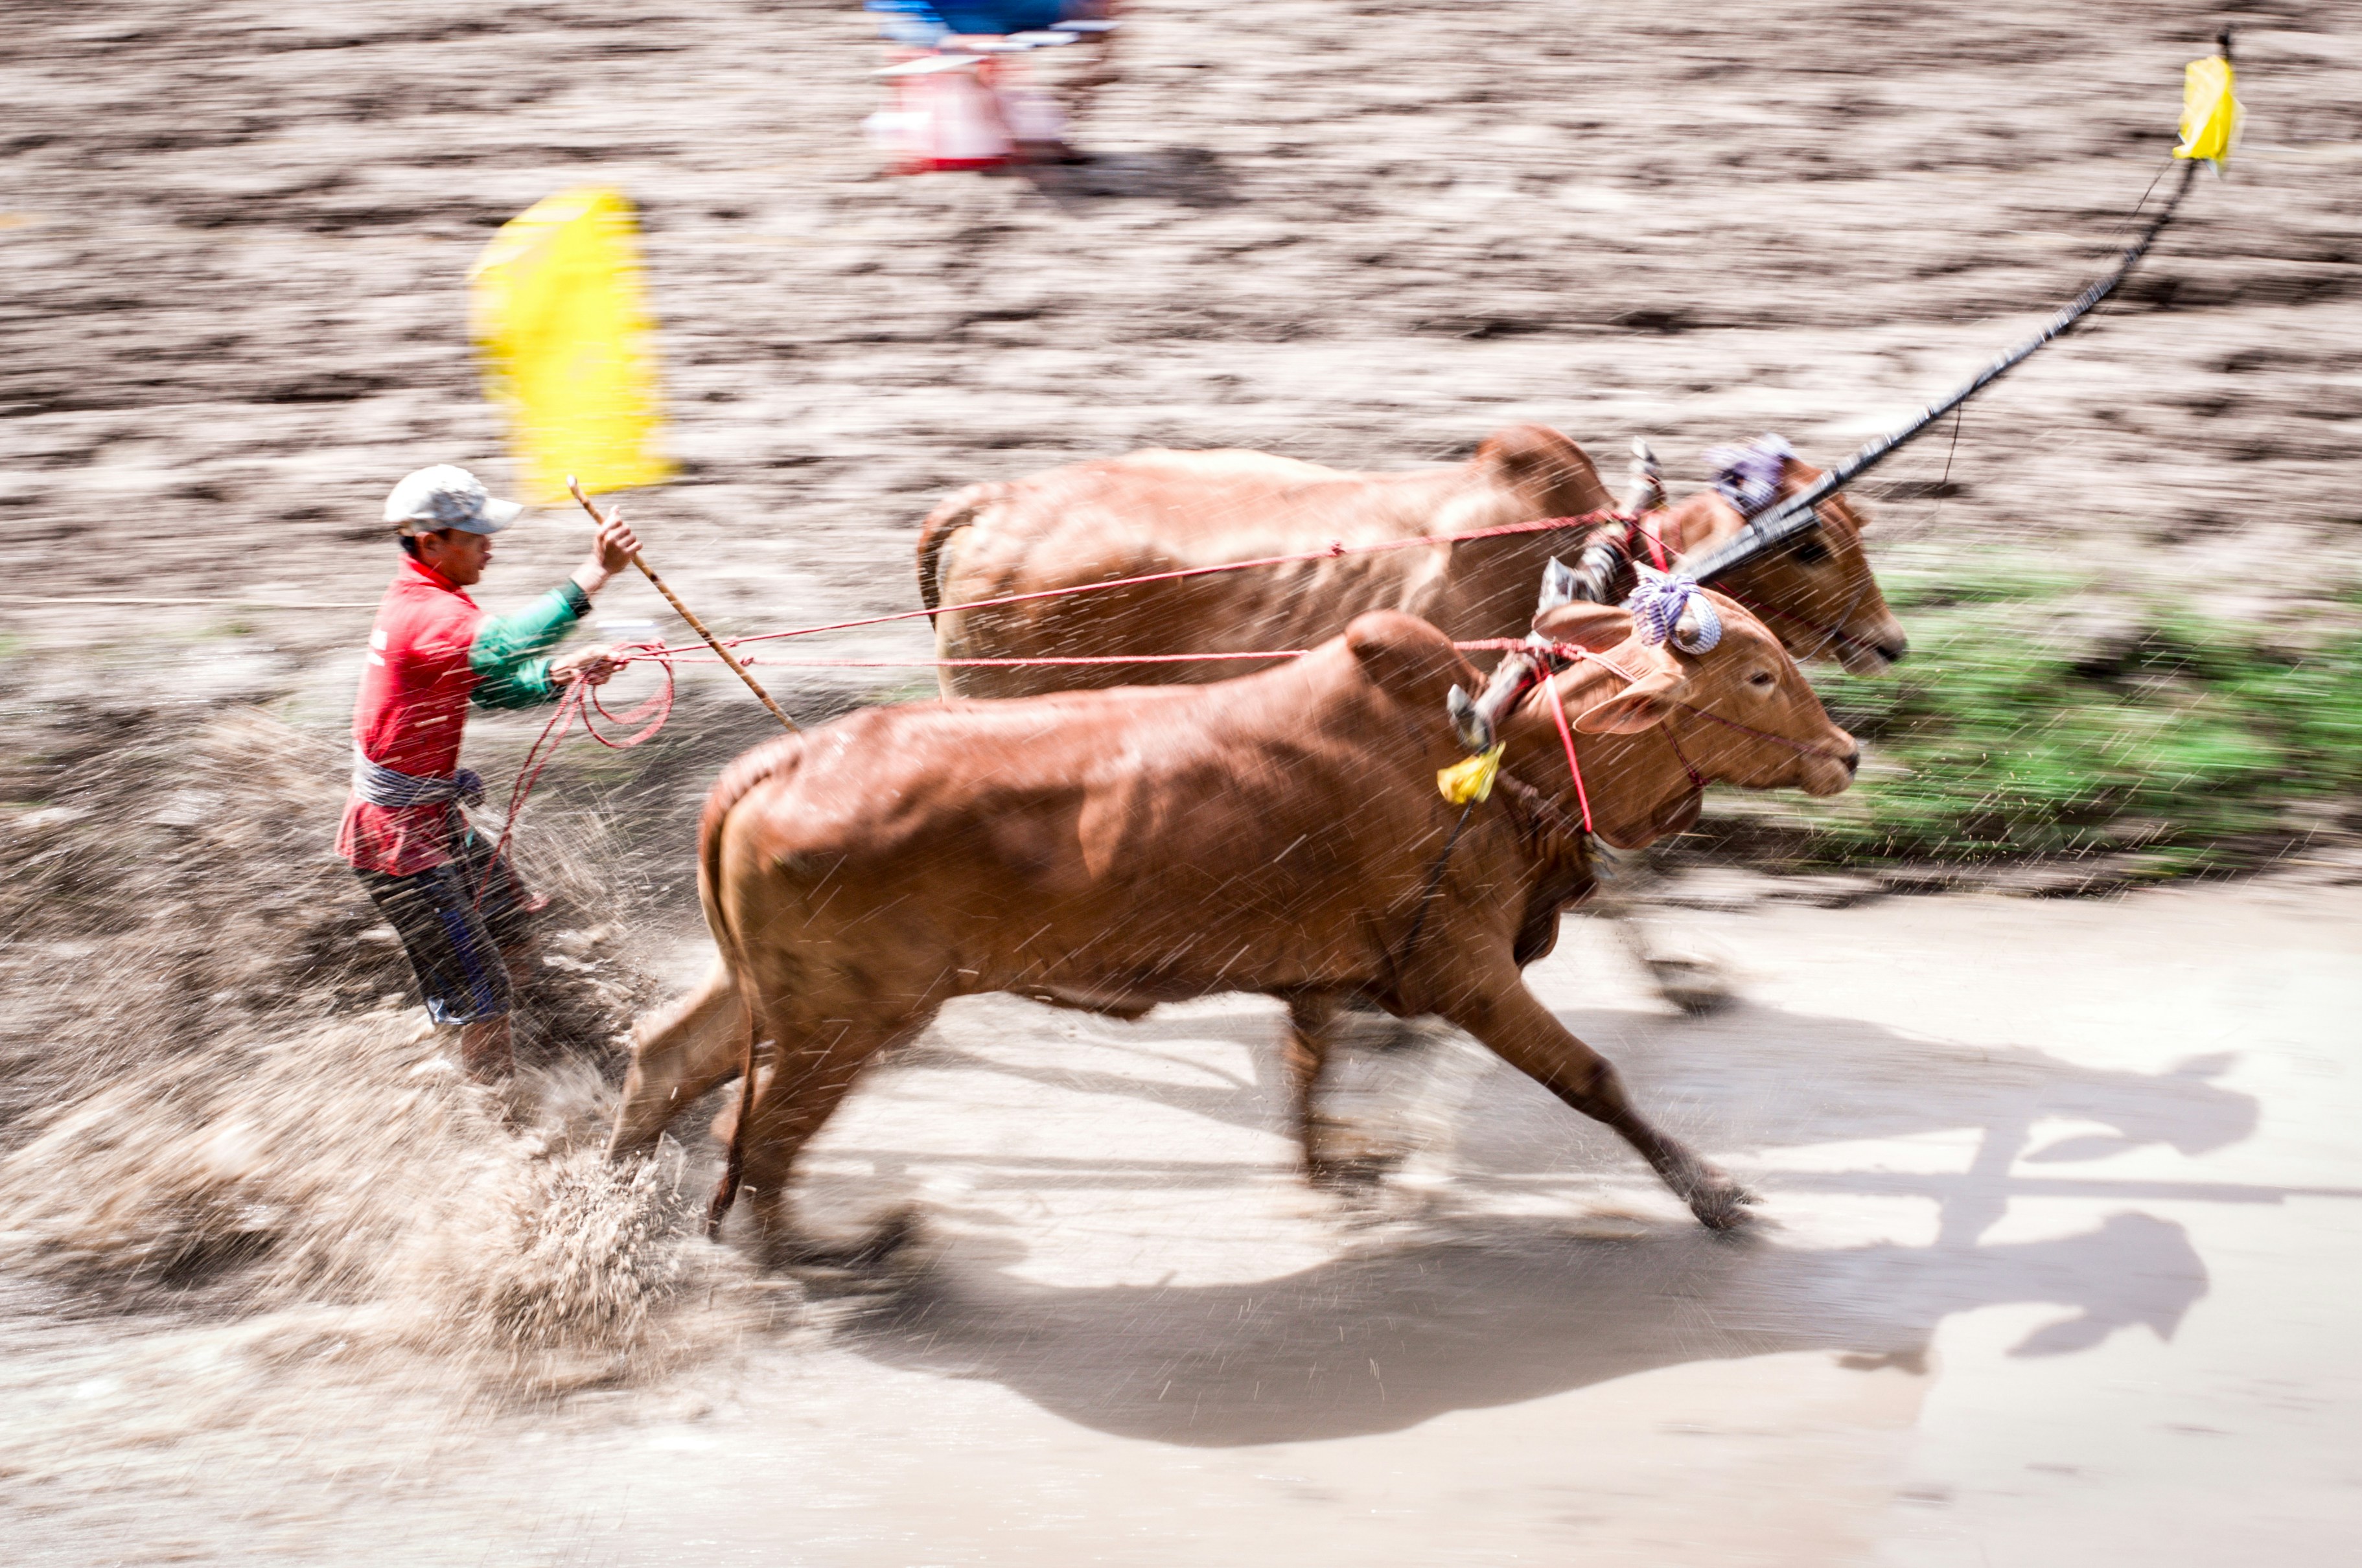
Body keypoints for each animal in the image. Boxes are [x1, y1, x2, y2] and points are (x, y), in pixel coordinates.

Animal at [607, 592, 1857, 1247]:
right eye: (1756, 675)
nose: (1847, 752)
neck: (1501, 761)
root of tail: (767, 766)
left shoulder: (1325, 977)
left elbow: (1309, 1077)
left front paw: (1342, 1172)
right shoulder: (1469, 972)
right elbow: (1592, 1077)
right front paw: (1713, 1193)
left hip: (777, 999)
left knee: (666, 1060)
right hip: (847, 1024)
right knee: (762, 1144)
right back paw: (828, 1253)